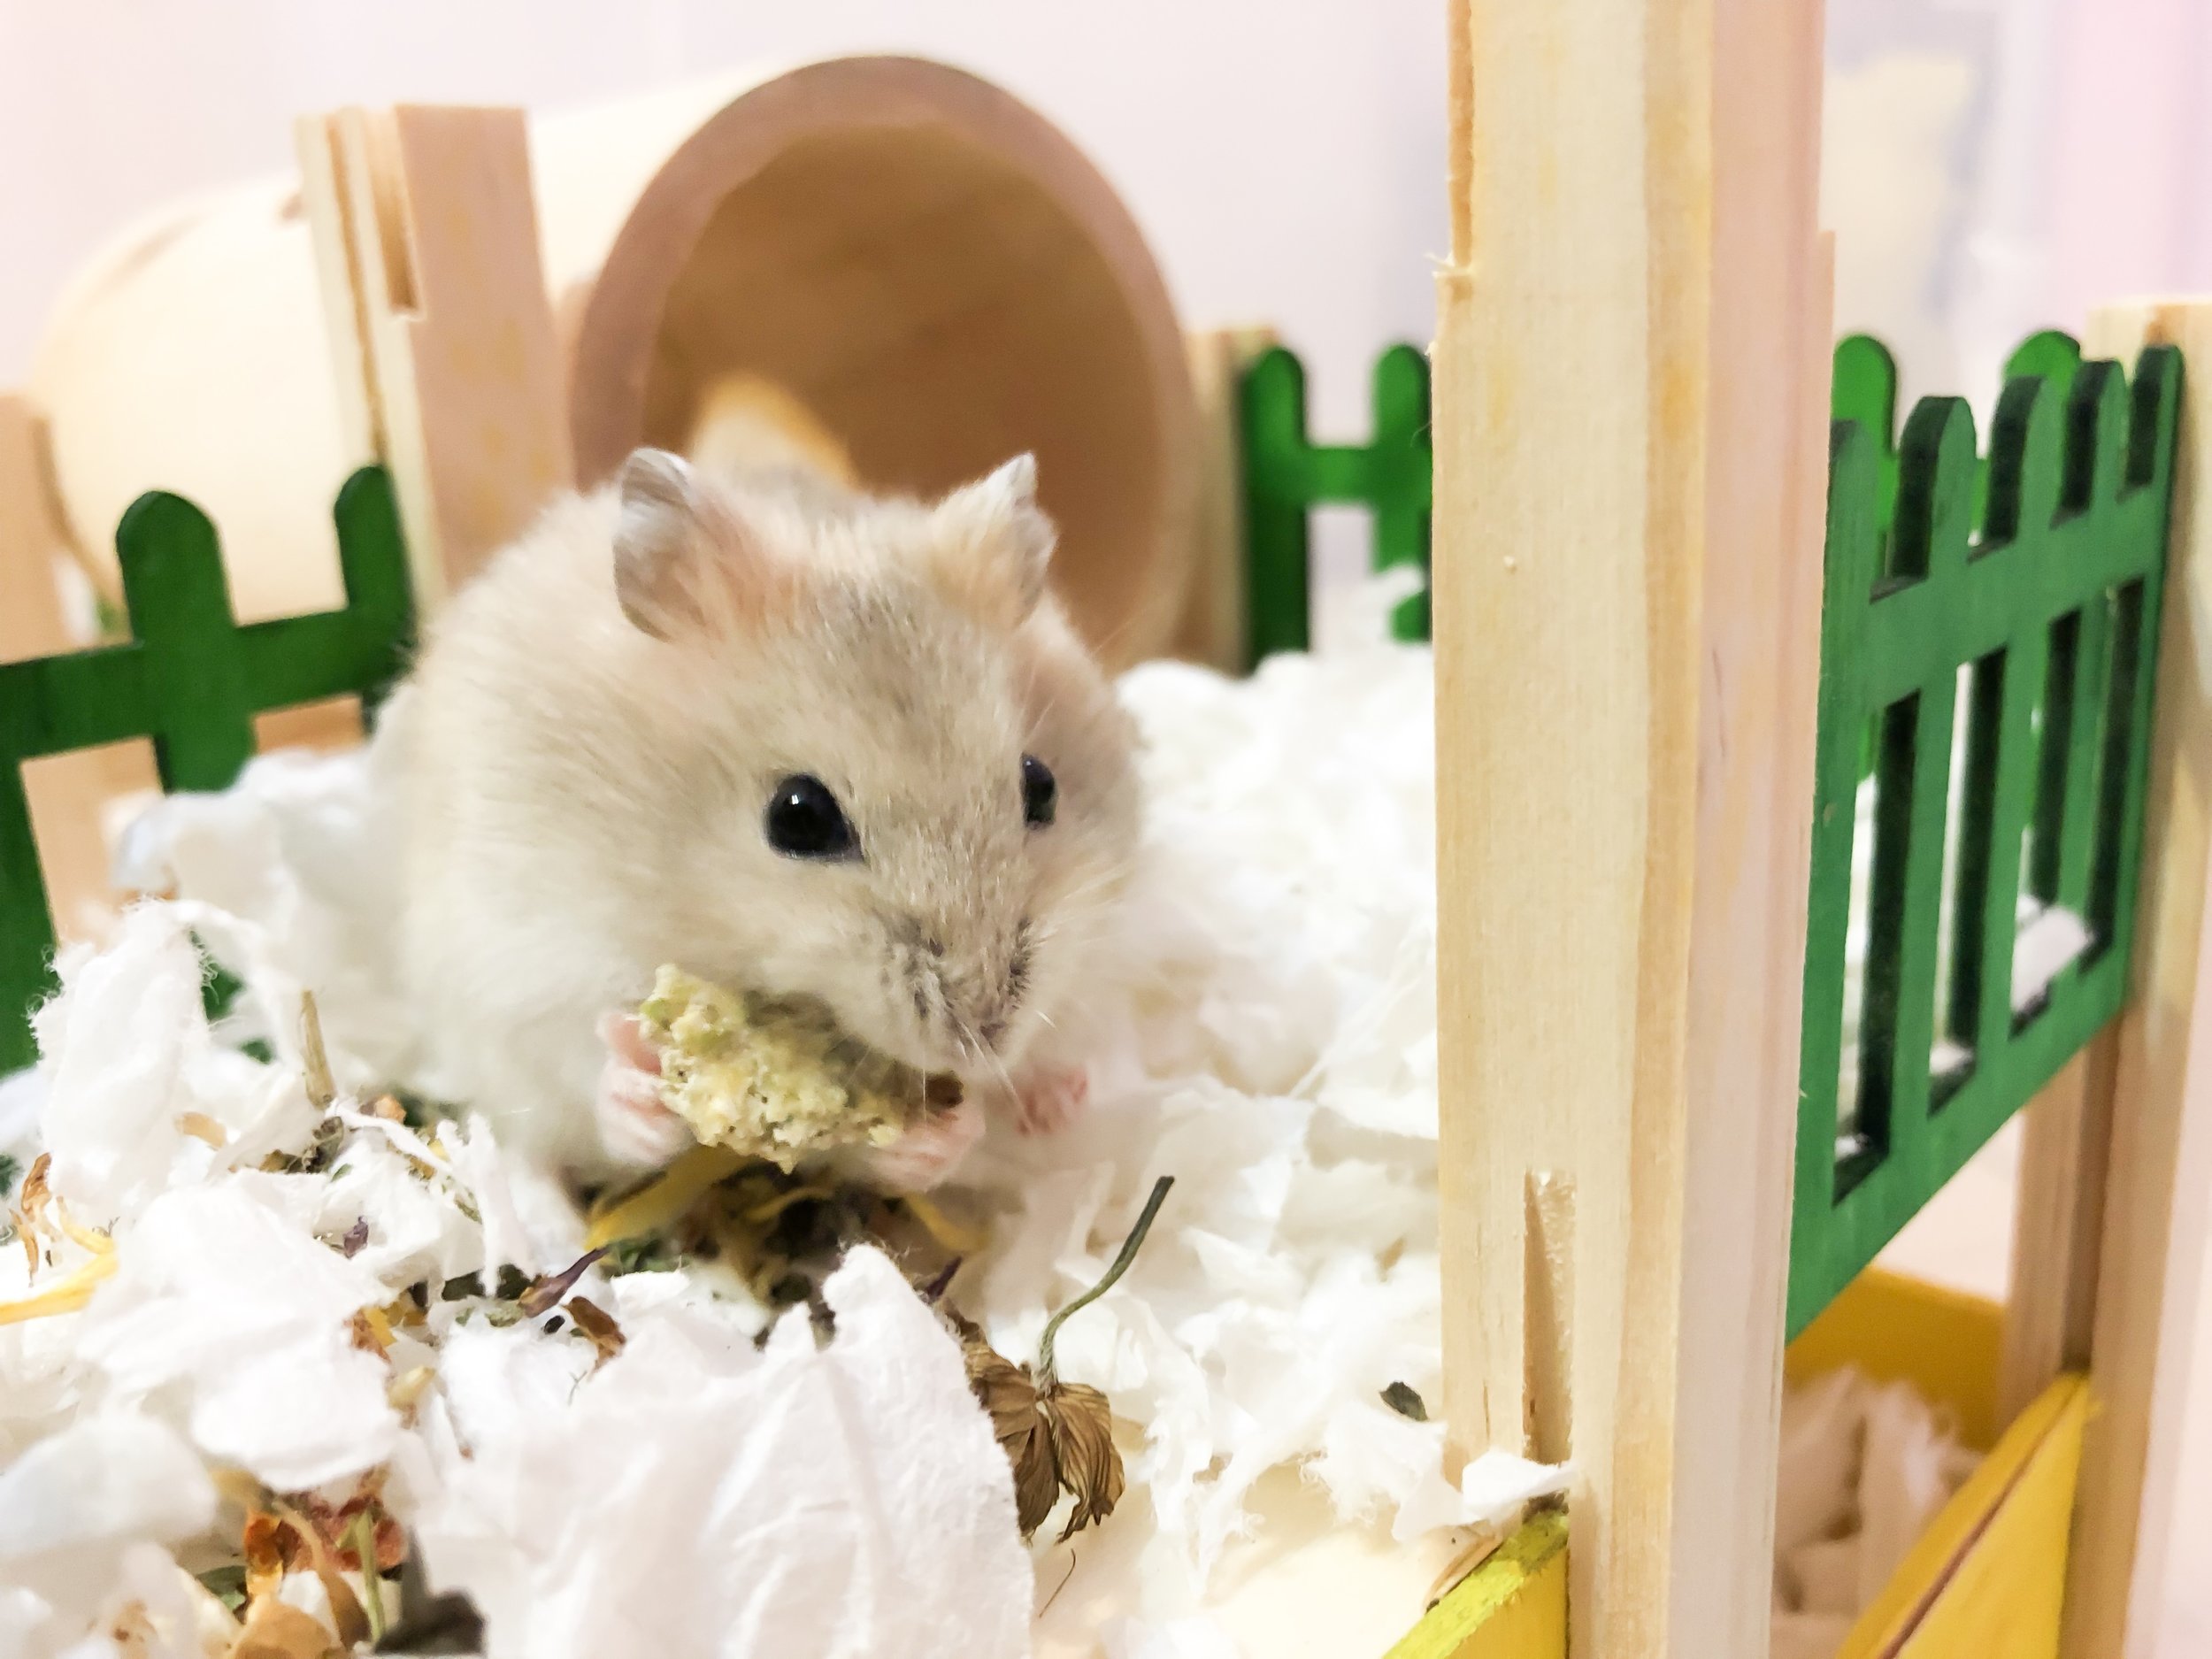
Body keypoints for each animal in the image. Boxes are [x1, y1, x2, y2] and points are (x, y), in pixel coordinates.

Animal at [377, 450, 1140, 1186]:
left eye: (1041, 786)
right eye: (797, 817)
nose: (986, 1039)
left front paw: (960, 1126)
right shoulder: (523, 955)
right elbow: (580, 1067)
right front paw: (637, 1081)